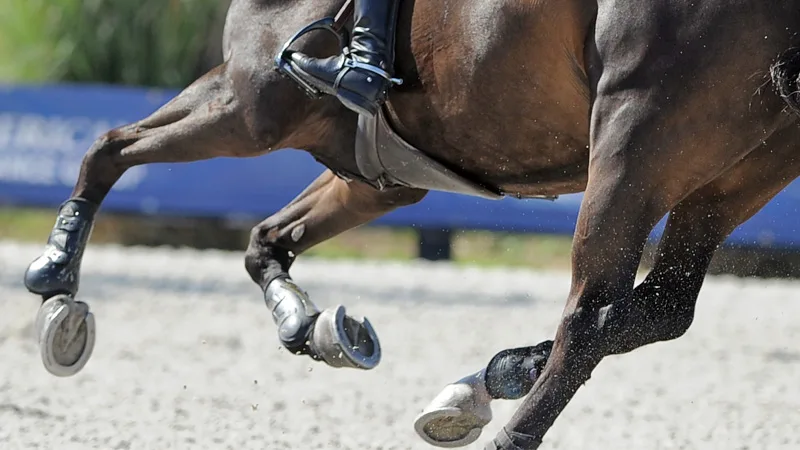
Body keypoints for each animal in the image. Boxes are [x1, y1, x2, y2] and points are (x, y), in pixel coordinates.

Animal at [21, 0, 800, 448]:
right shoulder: (380, 176)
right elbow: (263, 241)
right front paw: (314, 327)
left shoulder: (247, 105)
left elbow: (108, 147)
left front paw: (57, 284)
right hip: (734, 174)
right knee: (656, 309)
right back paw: (486, 382)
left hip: (636, 139)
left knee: (592, 317)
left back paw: (508, 428)